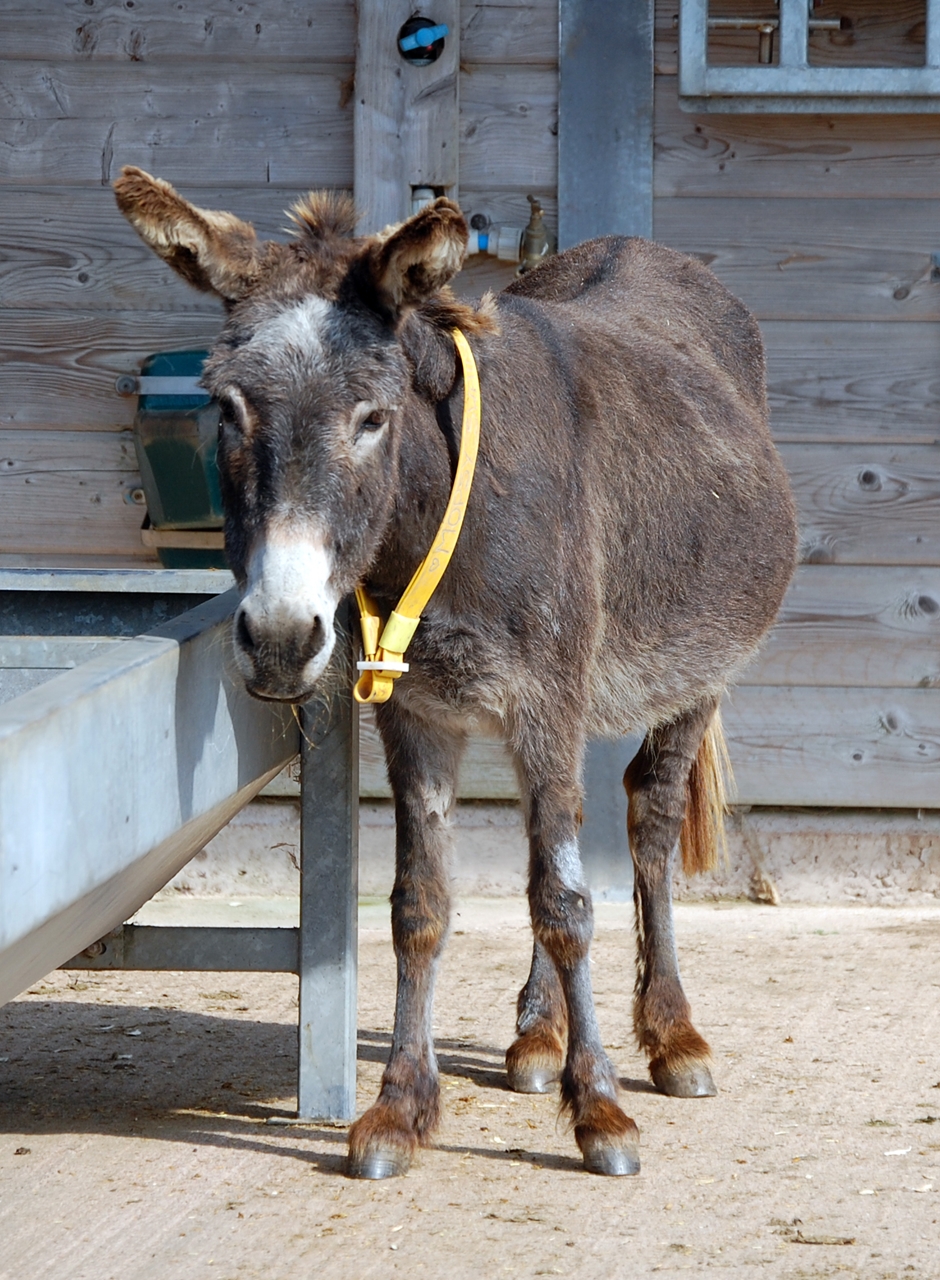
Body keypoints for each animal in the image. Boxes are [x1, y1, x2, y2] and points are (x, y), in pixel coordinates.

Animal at [114, 167, 798, 1179]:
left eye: (372, 417)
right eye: (227, 408)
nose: (277, 639)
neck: (436, 515)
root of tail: (645, 248)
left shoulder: (546, 705)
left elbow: (565, 905)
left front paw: (600, 1114)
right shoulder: (419, 713)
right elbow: (420, 906)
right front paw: (399, 1110)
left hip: (697, 672)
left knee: (649, 818)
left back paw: (672, 1039)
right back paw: (539, 1036)